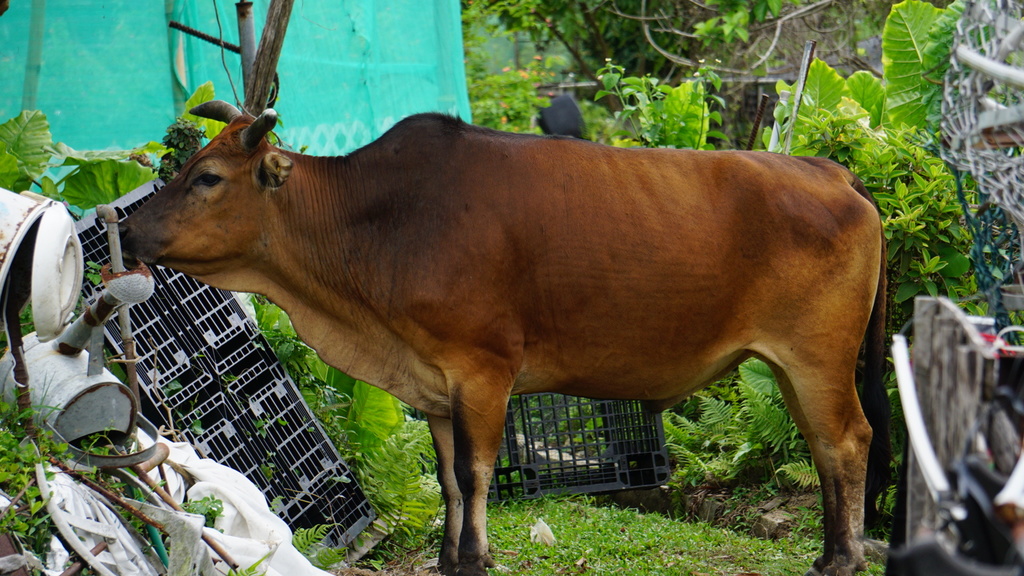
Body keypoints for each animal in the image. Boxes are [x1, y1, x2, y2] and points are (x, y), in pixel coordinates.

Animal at [120, 100, 890, 576]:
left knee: (846, 441)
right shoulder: (433, 387)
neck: (377, 225)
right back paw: (831, 551)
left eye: (207, 177)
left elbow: (475, 472)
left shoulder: (483, 369)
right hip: (790, 365)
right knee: (824, 446)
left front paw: (473, 557)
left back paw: (844, 557)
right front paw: (449, 555)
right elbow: (446, 478)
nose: (125, 230)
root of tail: (832, 171)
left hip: (818, 356)